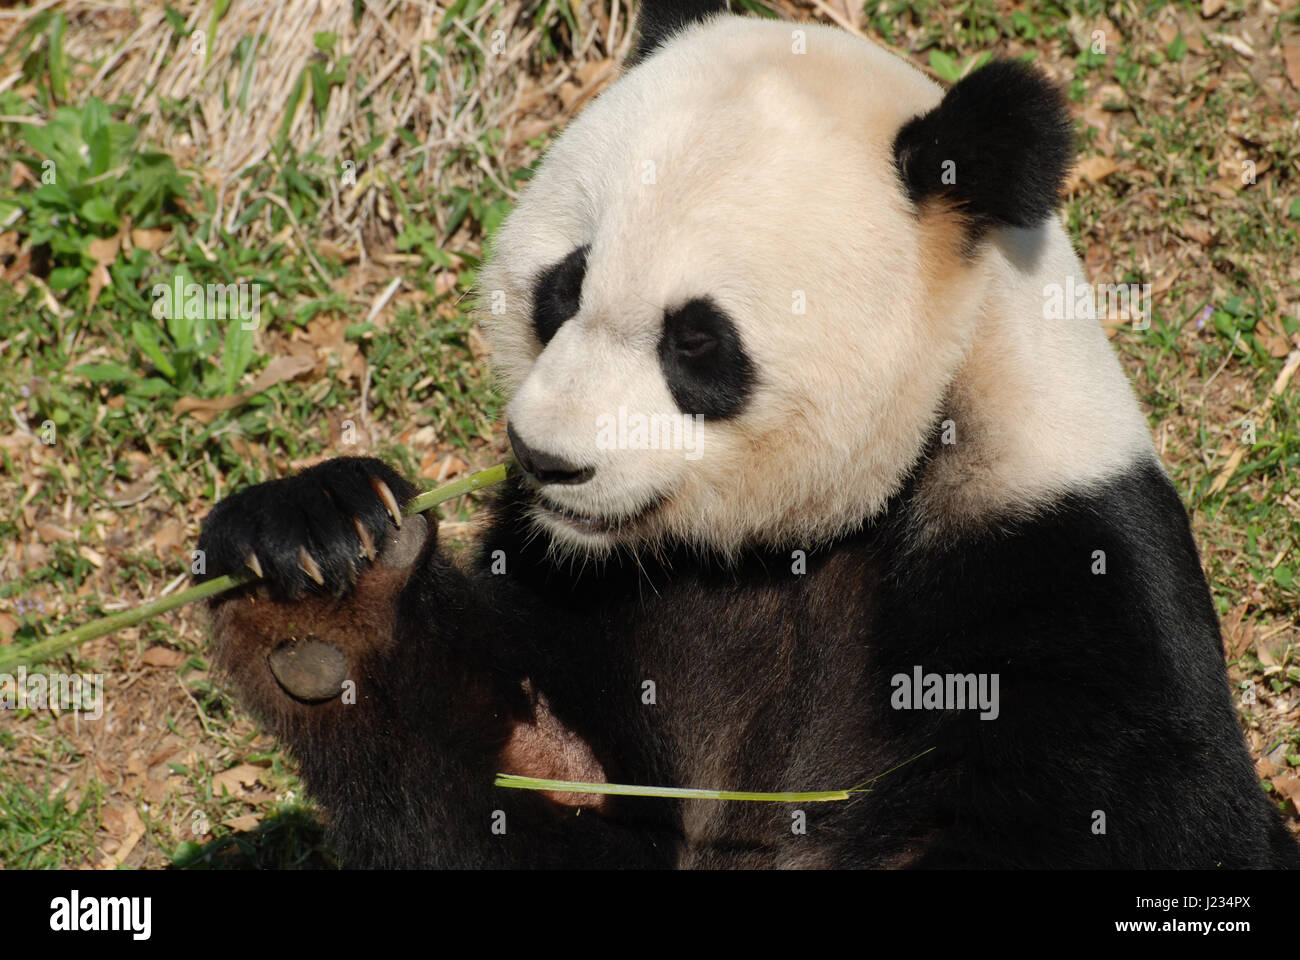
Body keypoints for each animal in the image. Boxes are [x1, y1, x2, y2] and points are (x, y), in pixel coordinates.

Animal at [196, 0, 1300, 868]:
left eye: (696, 341)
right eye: (563, 289)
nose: (547, 460)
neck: (775, 549)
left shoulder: (1063, 563)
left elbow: (1149, 814)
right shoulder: (592, 598)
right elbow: (529, 793)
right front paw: (322, 573)